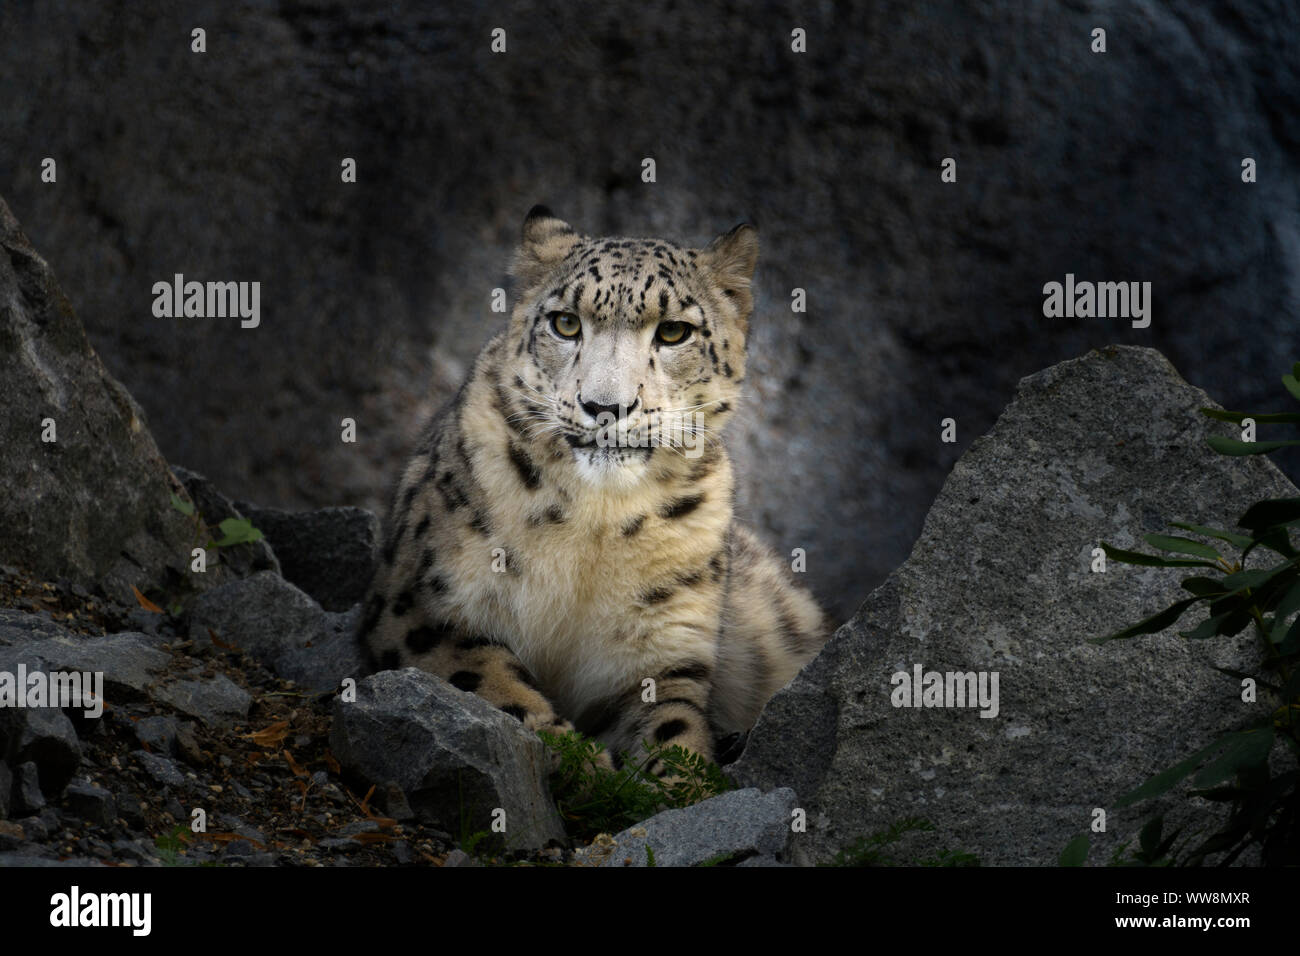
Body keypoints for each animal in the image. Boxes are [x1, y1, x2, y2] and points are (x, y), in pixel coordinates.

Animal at [357, 205, 828, 776]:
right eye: (565, 323)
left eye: (674, 331)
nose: (606, 406)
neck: (594, 525)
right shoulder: (421, 610)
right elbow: (492, 683)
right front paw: (576, 762)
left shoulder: (665, 650)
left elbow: (674, 734)